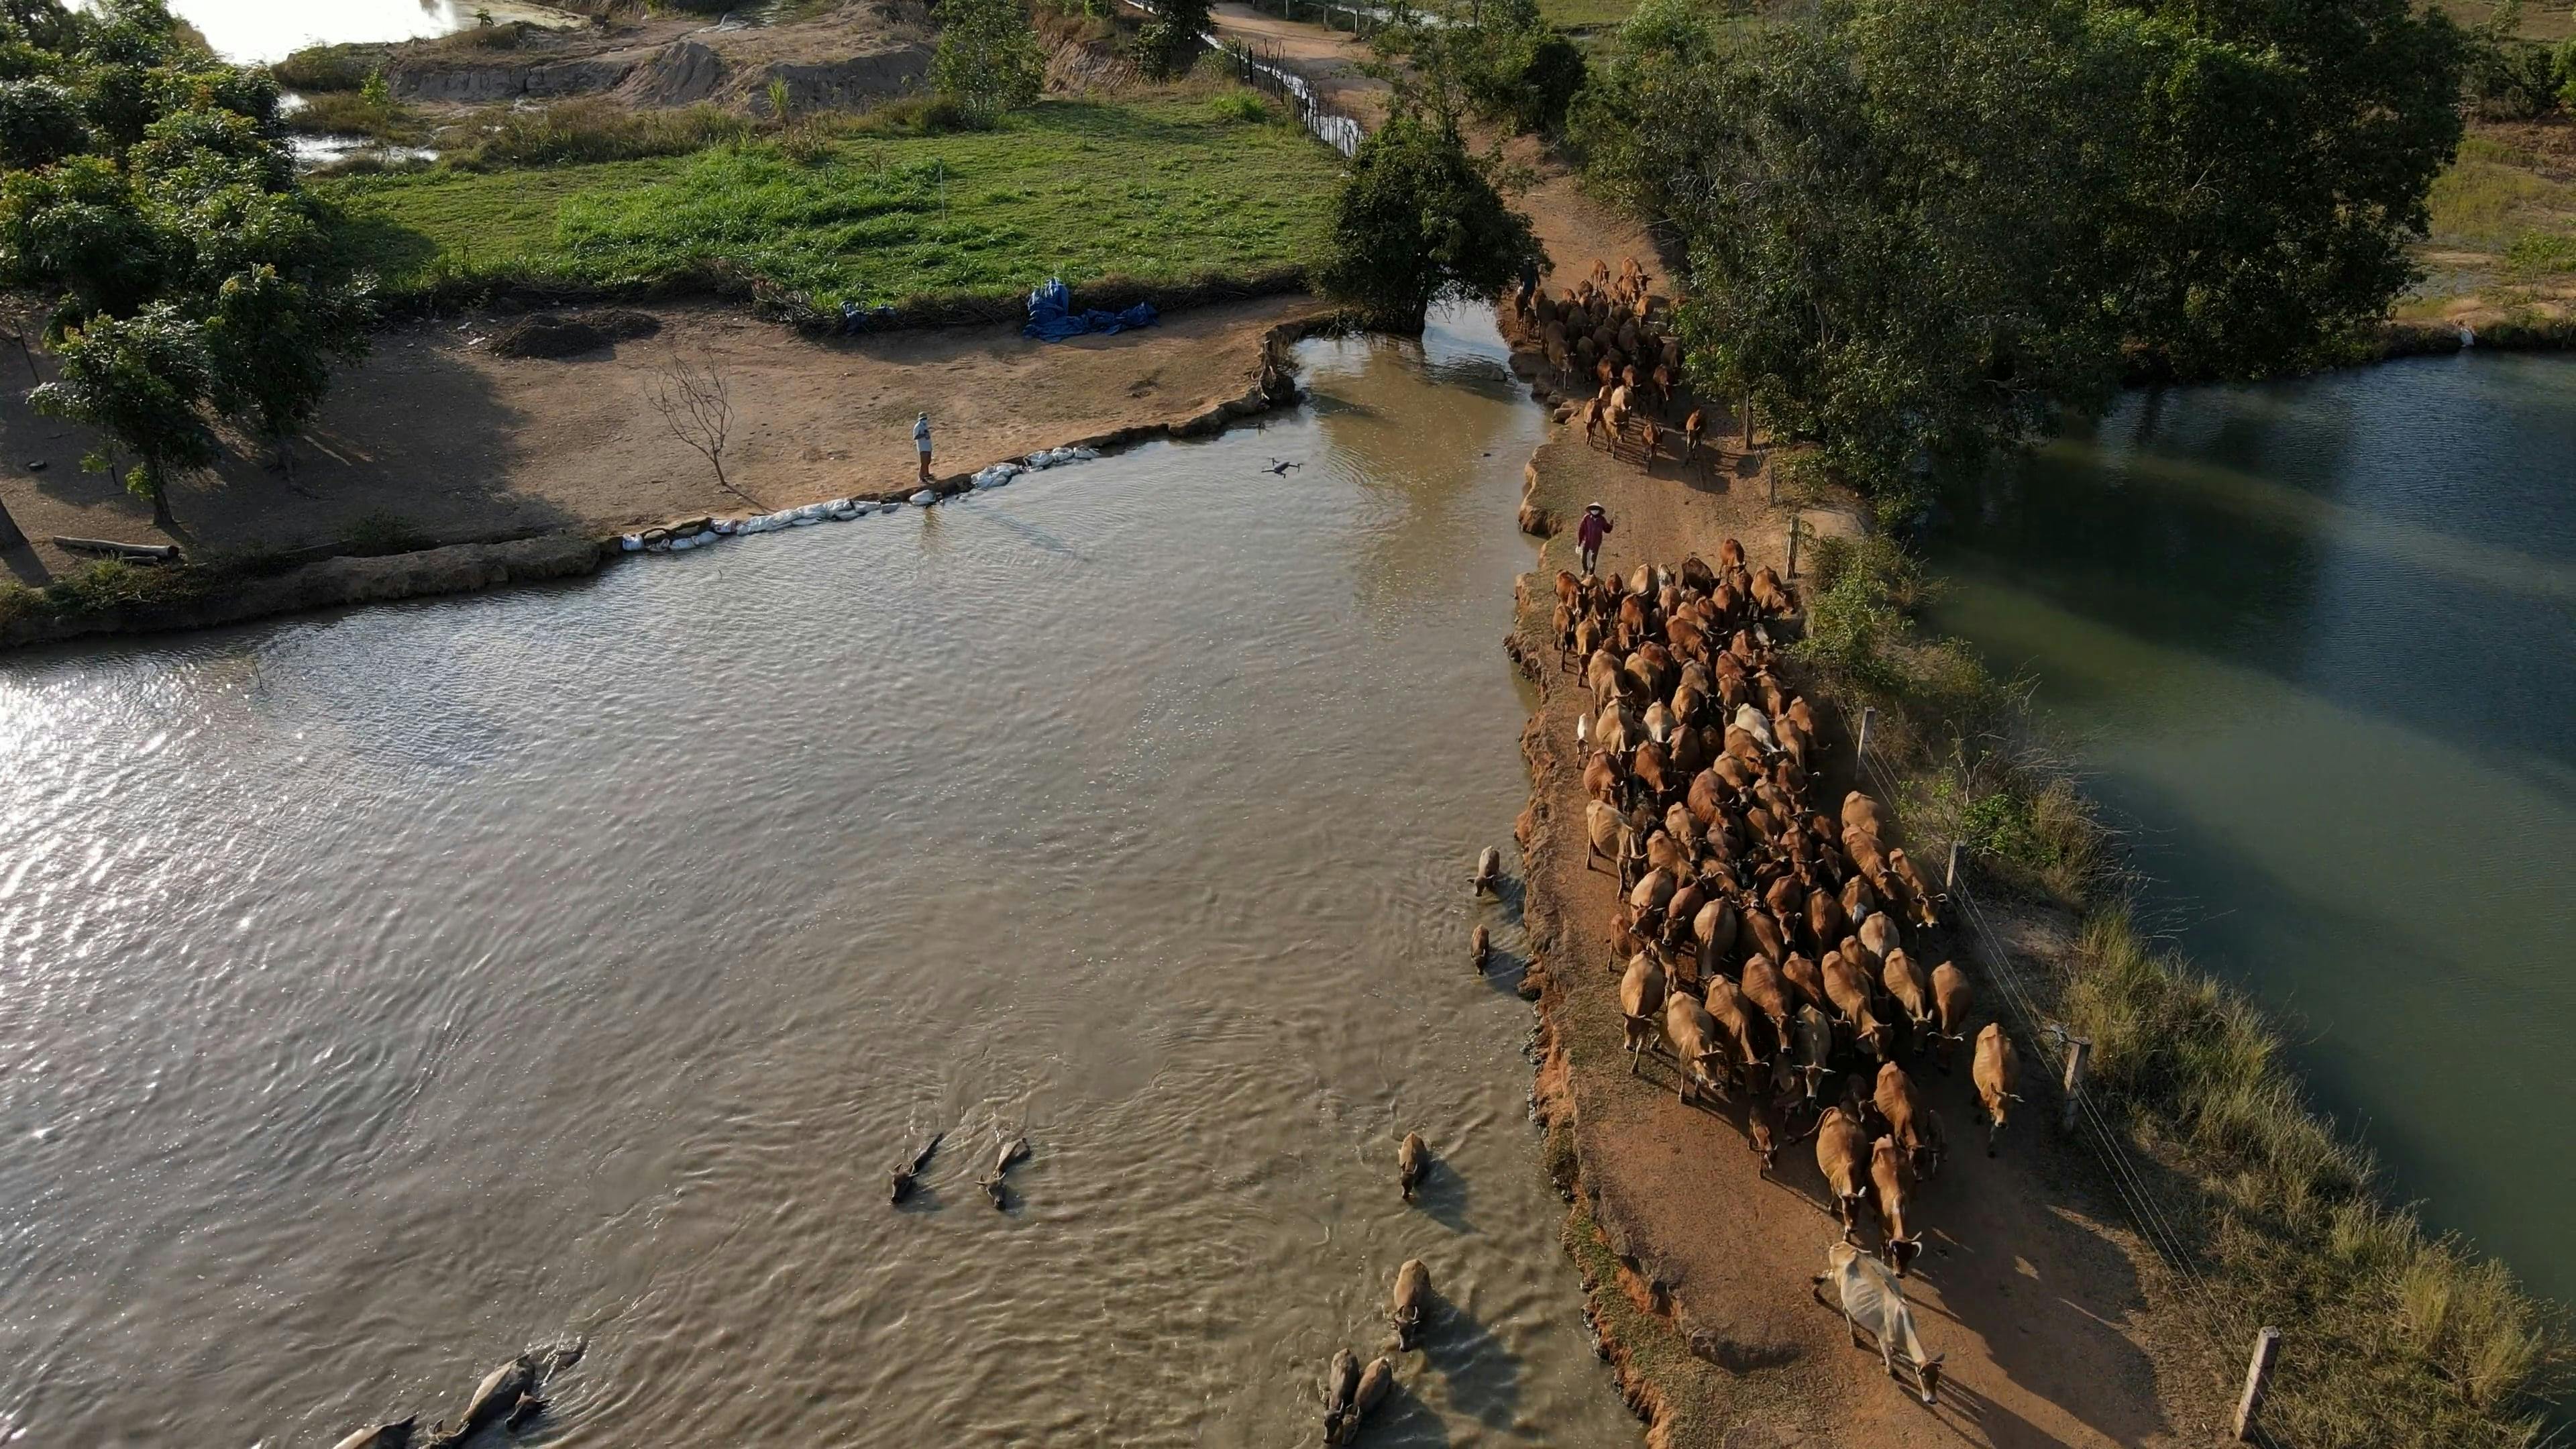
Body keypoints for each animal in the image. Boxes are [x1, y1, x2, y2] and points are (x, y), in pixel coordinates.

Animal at [1813, 1241, 1944, 1405]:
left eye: (1937, 1378)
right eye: (1923, 1377)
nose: (1932, 1400)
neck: (1903, 1327)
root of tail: (1842, 1245)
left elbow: (1893, 1353)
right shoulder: (1883, 1338)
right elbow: (1889, 1359)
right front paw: (1890, 1370)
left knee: (1826, 1275)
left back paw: (1817, 1294)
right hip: (1841, 1285)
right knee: (1845, 1308)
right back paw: (1854, 1337)